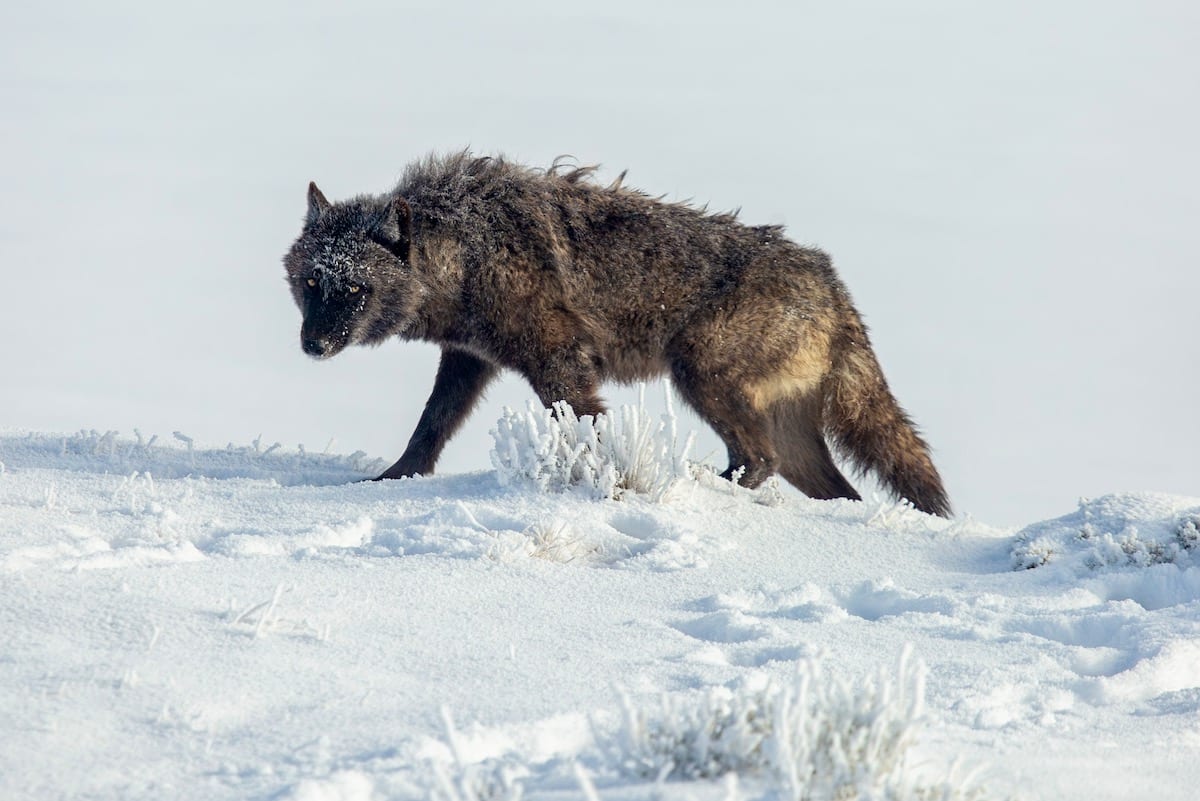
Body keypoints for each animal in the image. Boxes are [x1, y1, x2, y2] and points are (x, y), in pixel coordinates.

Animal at [283, 151, 951, 516]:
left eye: (354, 289)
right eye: (313, 282)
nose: (313, 345)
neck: (467, 253)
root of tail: (833, 286)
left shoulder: (558, 361)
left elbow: (588, 430)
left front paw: (614, 486)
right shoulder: (468, 360)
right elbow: (430, 426)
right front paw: (389, 482)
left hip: (699, 374)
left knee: (757, 459)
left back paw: (691, 485)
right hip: (789, 432)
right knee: (838, 491)